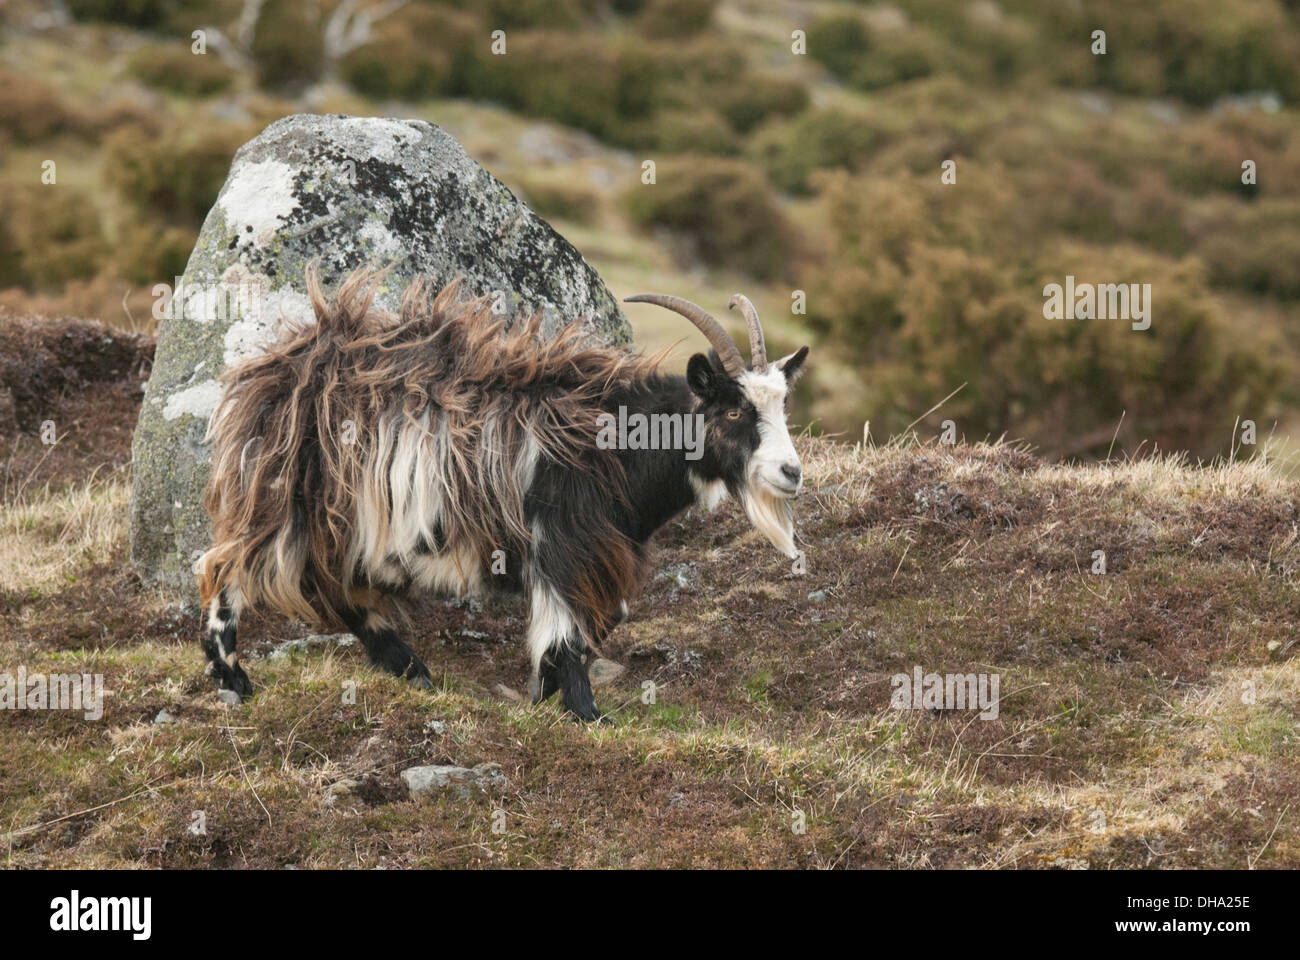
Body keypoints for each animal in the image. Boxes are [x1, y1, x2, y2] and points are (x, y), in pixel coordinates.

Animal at [197, 267, 809, 721]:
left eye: (781, 405)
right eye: (734, 411)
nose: (791, 472)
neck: (617, 445)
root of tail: (270, 371)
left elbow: (594, 624)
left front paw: (544, 692)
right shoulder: (563, 544)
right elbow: (568, 632)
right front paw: (585, 714)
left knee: (340, 588)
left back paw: (411, 671)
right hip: (281, 499)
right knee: (224, 566)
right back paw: (234, 677)